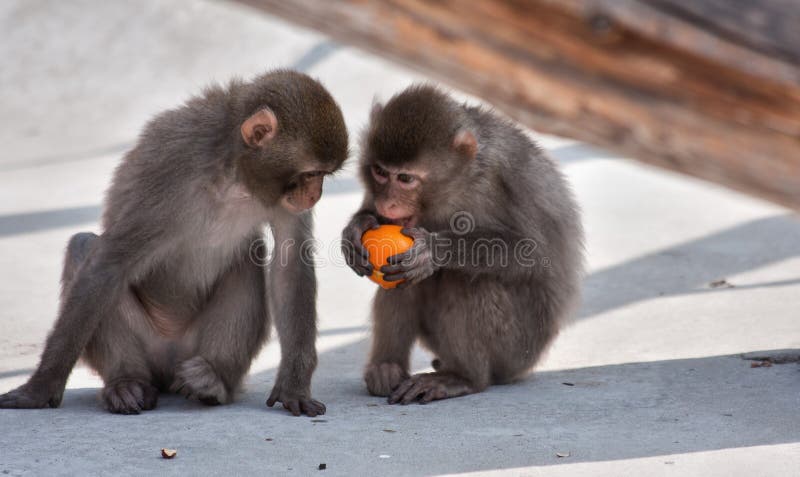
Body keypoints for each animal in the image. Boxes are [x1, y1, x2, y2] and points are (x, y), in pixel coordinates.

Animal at [0, 70, 348, 416]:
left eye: (322, 175)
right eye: (311, 174)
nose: (314, 194)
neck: (234, 174)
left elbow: (291, 266)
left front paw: (293, 387)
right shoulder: (172, 169)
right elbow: (110, 264)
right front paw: (40, 387)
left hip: (191, 349)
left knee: (247, 258)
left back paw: (213, 380)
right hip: (149, 347)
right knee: (85, 247)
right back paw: (126, 383)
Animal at [341, 85, 583, 404]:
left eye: (405, 178)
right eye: (380, 172)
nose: (387, 203)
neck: (460, 181)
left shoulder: (497, 176)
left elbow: (532, 252)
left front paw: (434, 251)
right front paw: (358, 227)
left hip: (516, 349)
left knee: (464, 281)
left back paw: (463, 378)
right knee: (402, 283)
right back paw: (387, 369)